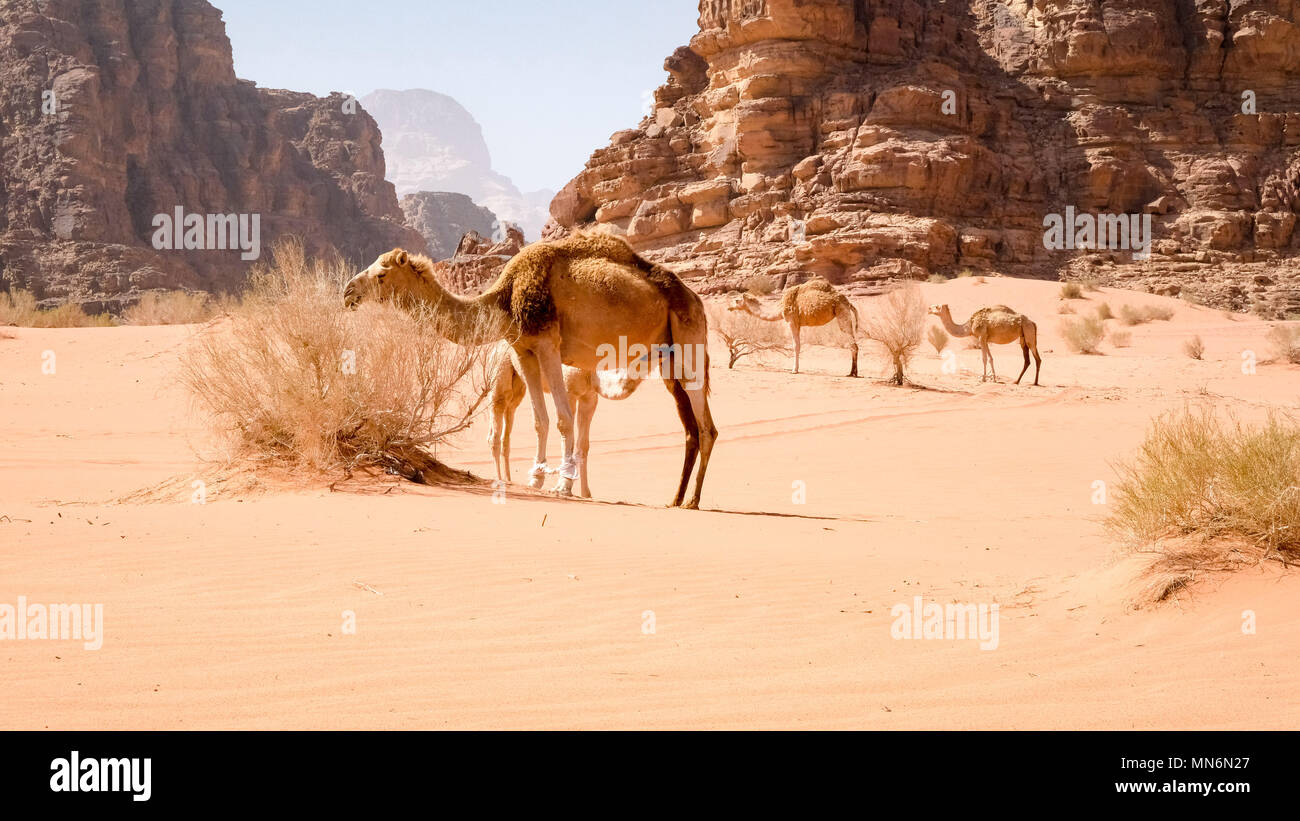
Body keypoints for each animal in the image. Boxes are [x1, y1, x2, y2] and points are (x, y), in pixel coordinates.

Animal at [486, 340, 640, 499]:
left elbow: (583, 445)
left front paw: (586, 493)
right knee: (497, 413)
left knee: (509, 417)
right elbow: (566, 429)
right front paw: (563, 487)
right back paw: (501, 481)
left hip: (518, 385)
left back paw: (509, 480)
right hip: (501, 369)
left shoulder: (589, 397)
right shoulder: (569, 390)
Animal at [728, 277, 859, 376]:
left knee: (852, 344)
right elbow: (798, 344)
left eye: (736, 300)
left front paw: (794, 370)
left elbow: (795, 345)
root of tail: (848, 303)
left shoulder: (791, 321)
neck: (780, 307)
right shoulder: (798, 323)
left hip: (842, 313)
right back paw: (852, 373)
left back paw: (853, 373)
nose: (729, 307)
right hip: (844, 314)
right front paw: (796, 368)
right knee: (854, 344)